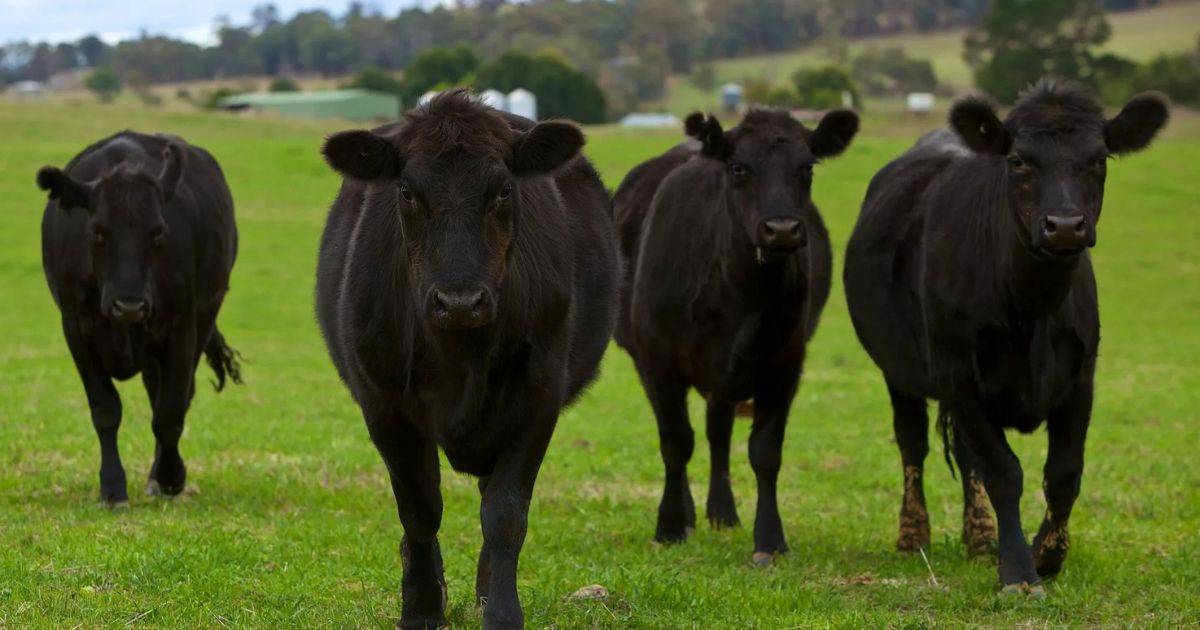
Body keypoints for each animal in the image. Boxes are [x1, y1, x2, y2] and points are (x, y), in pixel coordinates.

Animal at [37, 131, 241, 505]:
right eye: (98, 231)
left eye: (158, 231)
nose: (129, 305)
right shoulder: (75, 329)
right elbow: (105, 409)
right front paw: (112, 487)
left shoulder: (181, 327)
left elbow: (169, 412)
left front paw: (170, 477)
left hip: (204, 316)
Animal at [315, 90, 618, 629]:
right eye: (407, 191)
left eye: (502, 190)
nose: (459, 301)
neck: (462, 356)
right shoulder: (384, 407)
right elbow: (419, 509)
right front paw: (420, 607)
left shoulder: (537, 400)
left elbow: (505, 514)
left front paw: (501, 611)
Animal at [613, 108, 859, 564]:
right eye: (739, 168)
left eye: (807, 168)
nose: (782, 229)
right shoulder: (659, 362)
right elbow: (675, 443)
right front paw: (669, 526)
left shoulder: (785, 364)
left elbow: (765, 452)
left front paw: (770, 539)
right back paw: (689, 513)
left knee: (718, 432)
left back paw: (722, 511)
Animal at [843, 80, 1169, 594]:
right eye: (1018, 160)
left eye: (1099, 159)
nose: (1064, 226)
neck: (1031, 308)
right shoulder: (959, 377)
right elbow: (1003, 471)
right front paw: (1018, 570)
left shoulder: (1081, 378)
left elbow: (1063, 474)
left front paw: (1047, 555)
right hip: (898, 370)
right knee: (913, 443)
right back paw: (914, 533)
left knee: (964, 456)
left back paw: (979, 537)